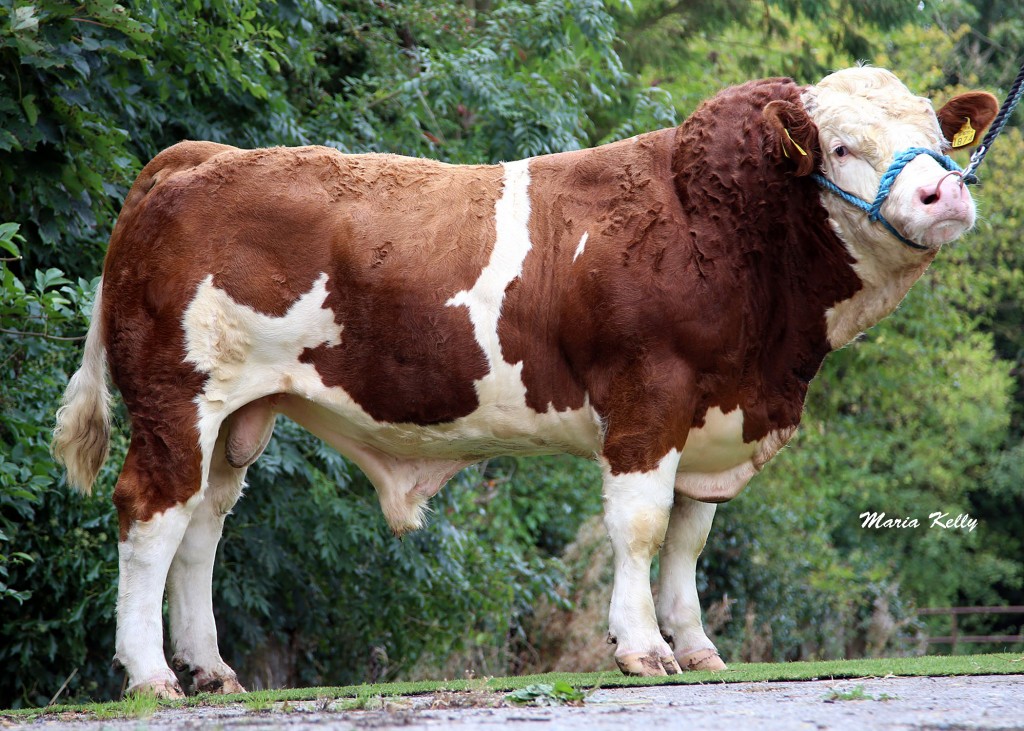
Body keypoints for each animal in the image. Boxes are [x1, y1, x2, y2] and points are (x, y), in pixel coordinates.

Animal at [53, 67, 998, 697]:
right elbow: (642, 528)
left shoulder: (713, 419)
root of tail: (197, 158)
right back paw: (150, 675)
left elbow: (689, 541)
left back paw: (210, 668)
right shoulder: (649, 401)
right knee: (151, 513)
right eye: (842, 145)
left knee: (203, 525)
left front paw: (697, 649)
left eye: (935, 130)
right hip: (178, 399)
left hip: (239, 417)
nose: (944, 193)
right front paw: (642, 648)